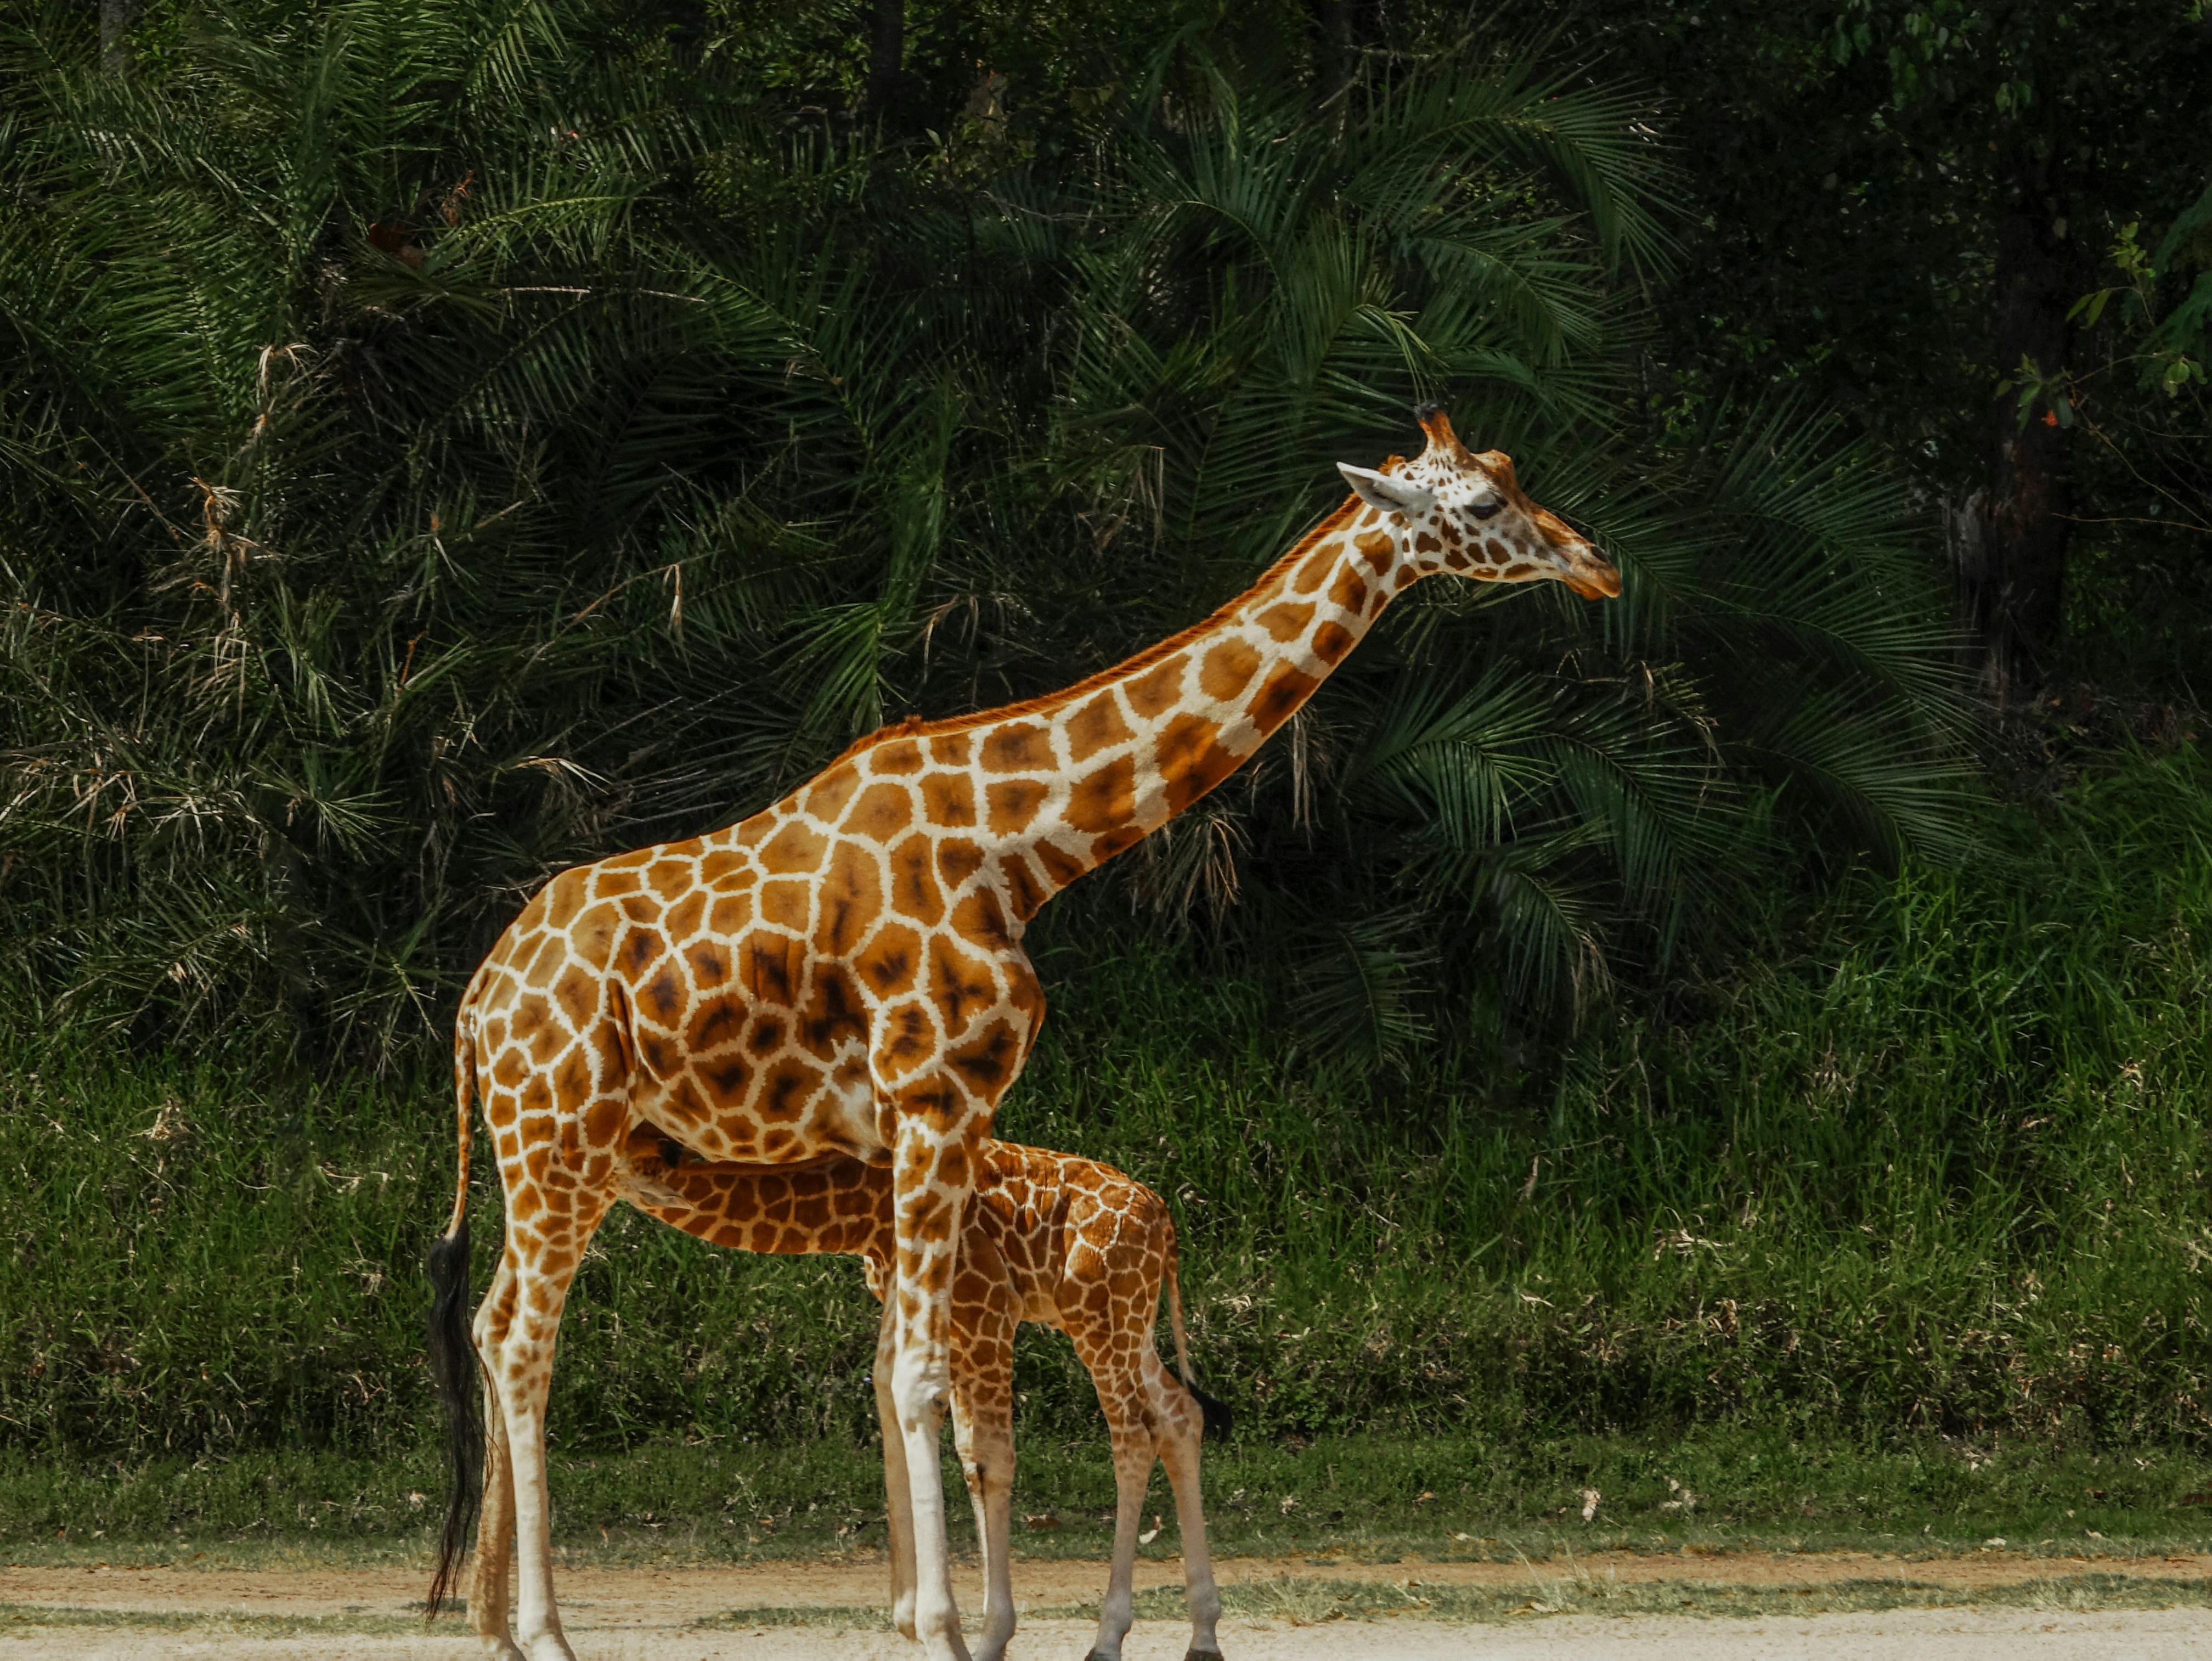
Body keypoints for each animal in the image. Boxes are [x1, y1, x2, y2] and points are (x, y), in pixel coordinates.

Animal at [469, 1129, 1225, 1661]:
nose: (539, 1187)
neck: (861, 1205)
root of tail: (1165, 1226)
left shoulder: (984, 1306)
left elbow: (985, 1456)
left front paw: (985, 1636)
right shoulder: (917, 1296)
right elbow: (910, 1413)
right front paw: (930, 1622)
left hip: (1101, 1315)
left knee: (1131, 1433)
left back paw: (1108, 1636)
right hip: (1121, 1318)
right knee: (1178, 1414)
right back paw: (1203, 1632)